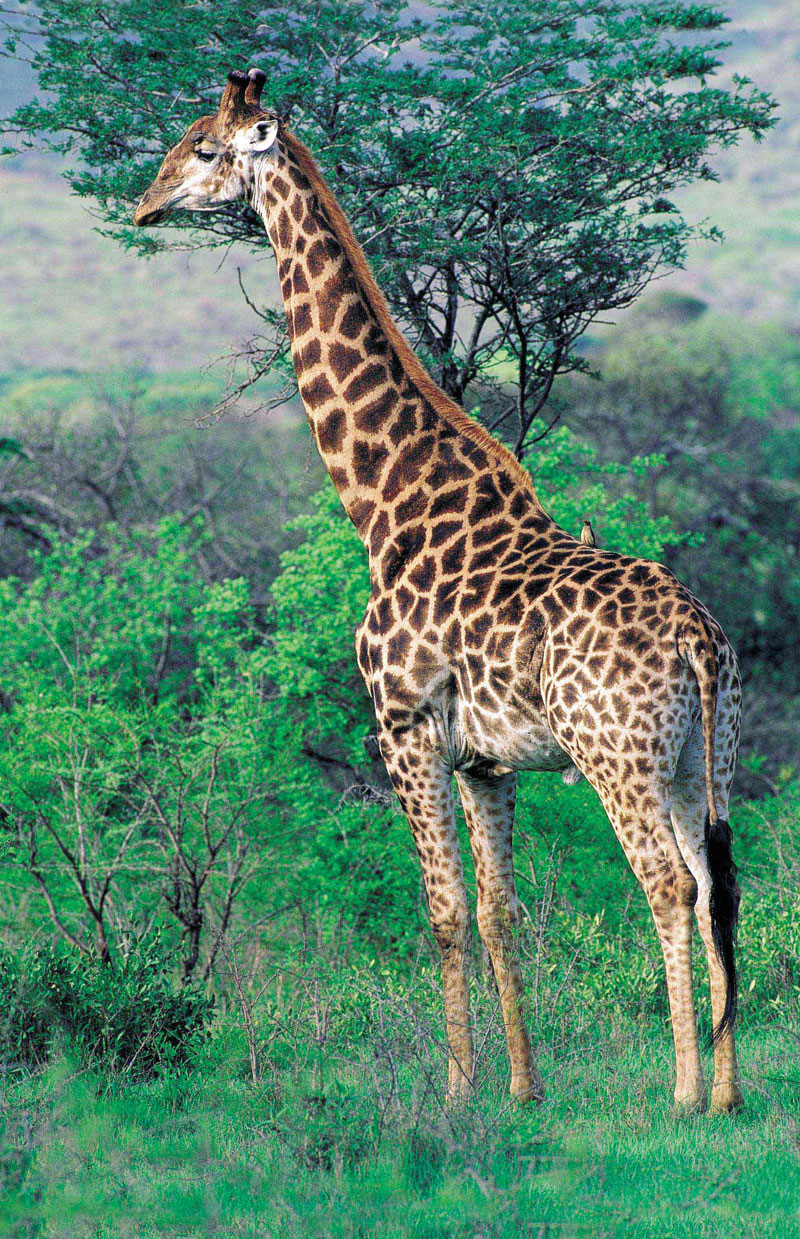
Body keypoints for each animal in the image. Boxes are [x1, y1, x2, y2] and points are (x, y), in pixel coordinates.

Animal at [134, 69, 743, 1114]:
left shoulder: (404, 725)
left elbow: (444, 910)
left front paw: (458, 1090)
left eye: (204, 148)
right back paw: (736, 1091)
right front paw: (524, 1087)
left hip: (616, 756)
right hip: (705, 754)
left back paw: (684, 1092)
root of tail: (697, 642)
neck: (386, 506)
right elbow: (500, 910)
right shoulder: (485, 759)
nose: (143, 205)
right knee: (718, 880)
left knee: (666, 882)